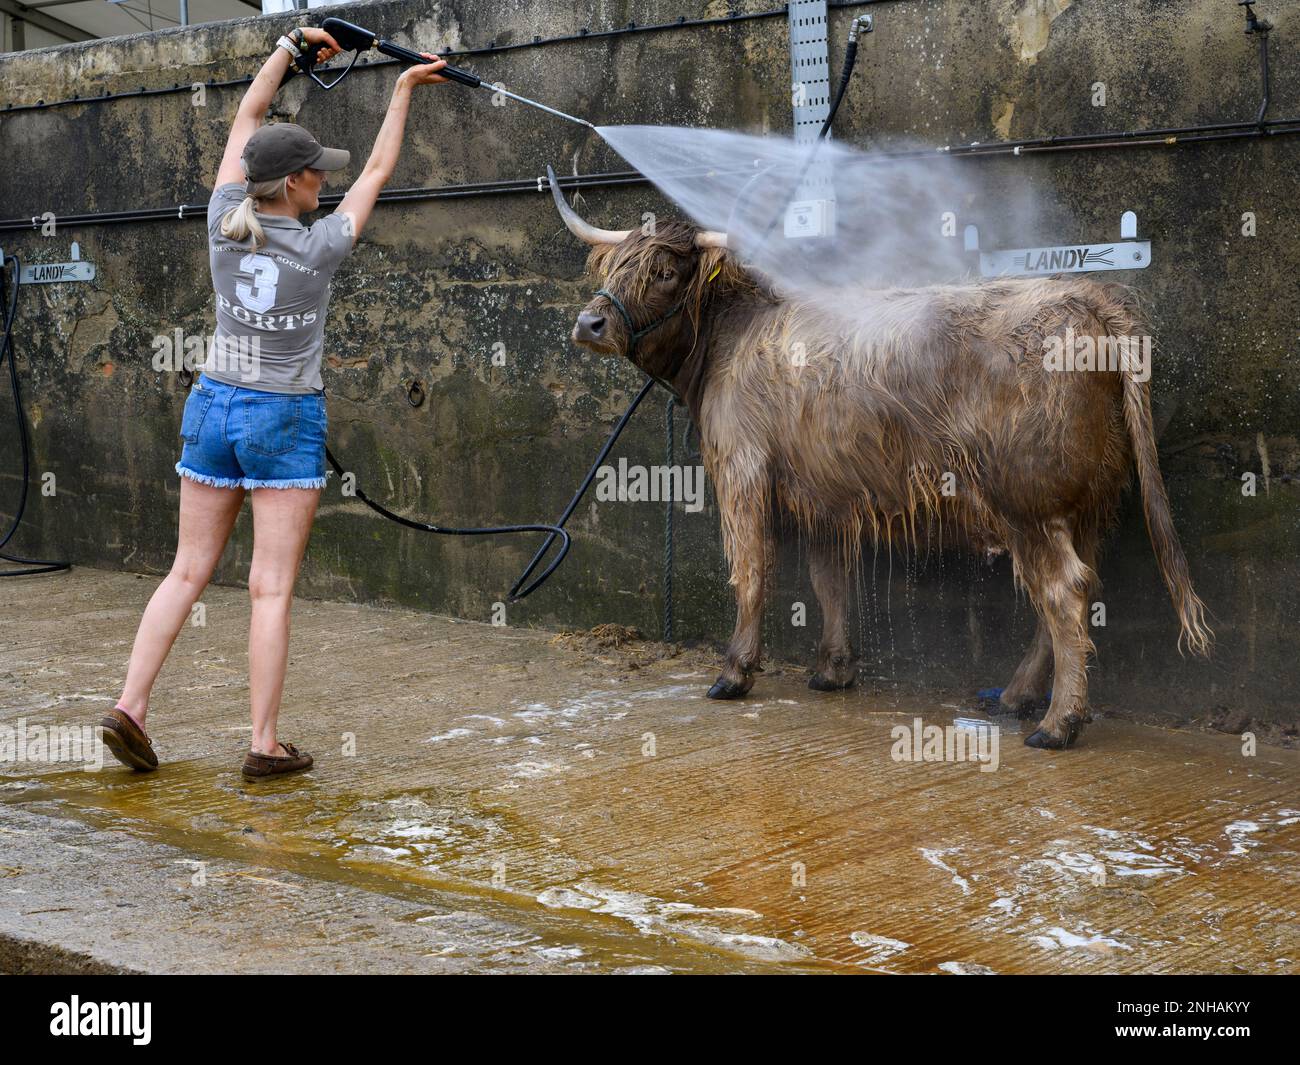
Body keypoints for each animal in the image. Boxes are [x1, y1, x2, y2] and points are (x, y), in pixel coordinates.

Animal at [545, 168, 1211, 749]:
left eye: (661, 271)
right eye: (612, 265)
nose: (589, 323)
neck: (733, 336)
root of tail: (1086, 296)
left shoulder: (742, 471)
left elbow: (753, 572)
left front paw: (734, 672)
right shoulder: (820, 491)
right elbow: (830, 579)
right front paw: (833, 670)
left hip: (1029, 502)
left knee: (1063, 591)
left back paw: (1058, 723)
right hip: (1089, 502)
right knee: (1076, 588)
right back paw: (1019, 695)